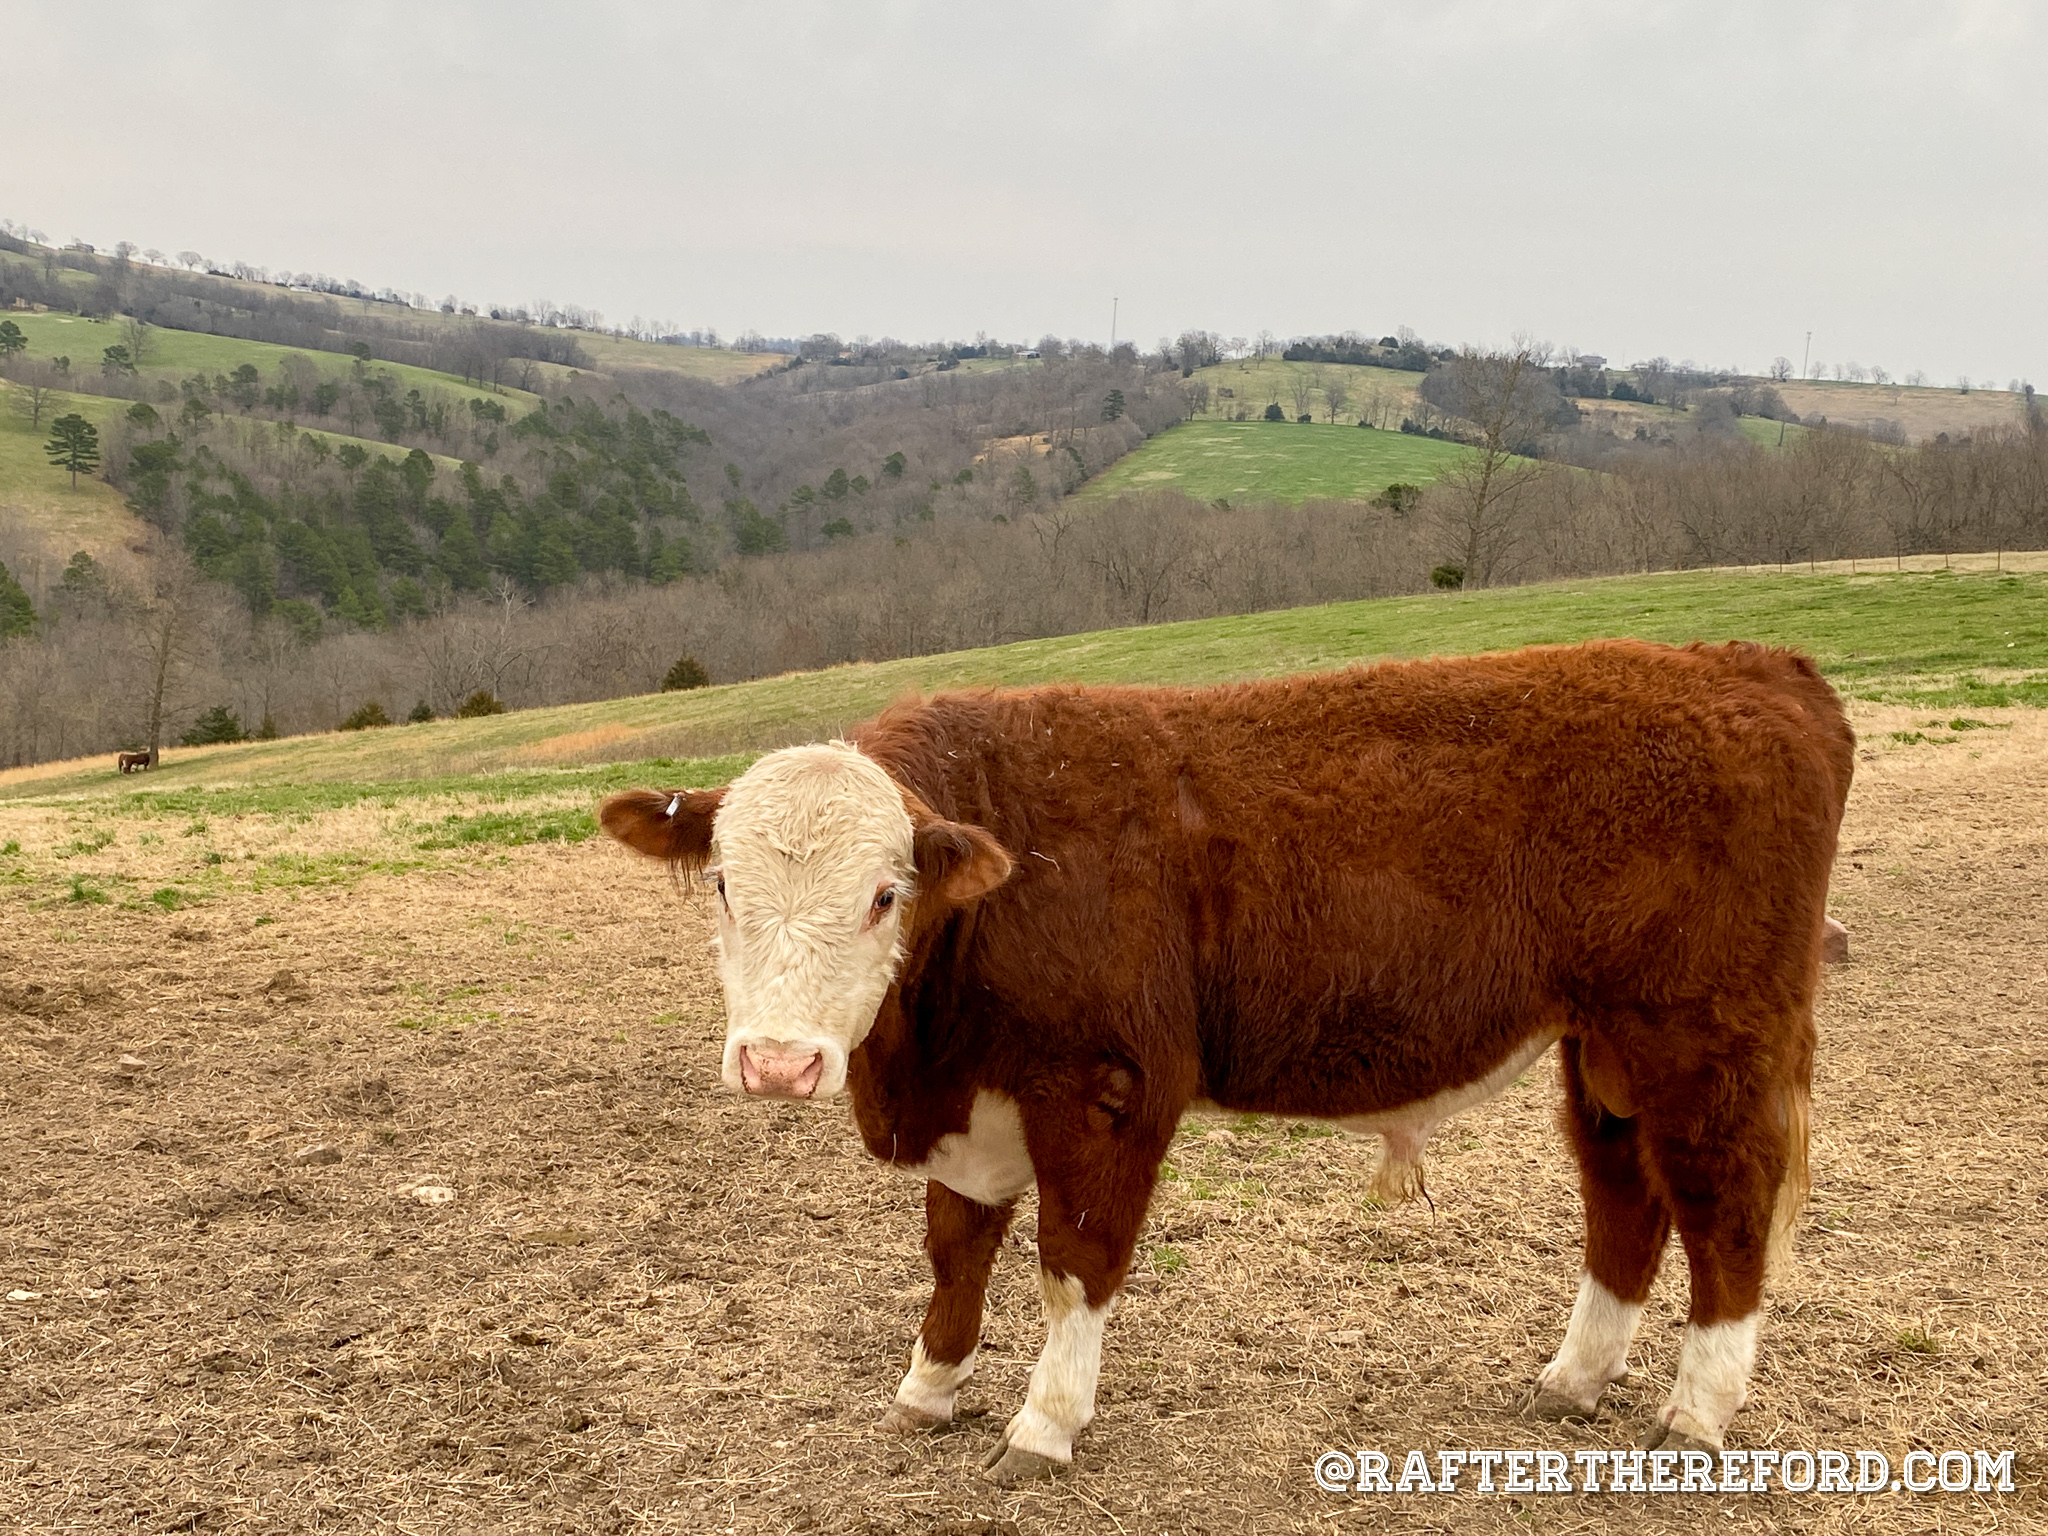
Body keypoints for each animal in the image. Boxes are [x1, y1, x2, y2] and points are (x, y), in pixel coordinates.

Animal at [599, 639, 1854, 1485]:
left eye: (881, 893)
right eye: (723, 884)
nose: (777, 1062)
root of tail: (1754, 665)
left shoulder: (1106, 1086)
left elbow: (1071, 1260)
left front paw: (1042, 1425)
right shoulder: (977, 1104)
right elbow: (956, 1249)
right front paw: (928, 1389)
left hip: (1702, 1038)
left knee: (1722, 1207)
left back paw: (1695, 1412)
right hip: (1601, 1053)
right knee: (1622, 1201)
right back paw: (1572, 1380)